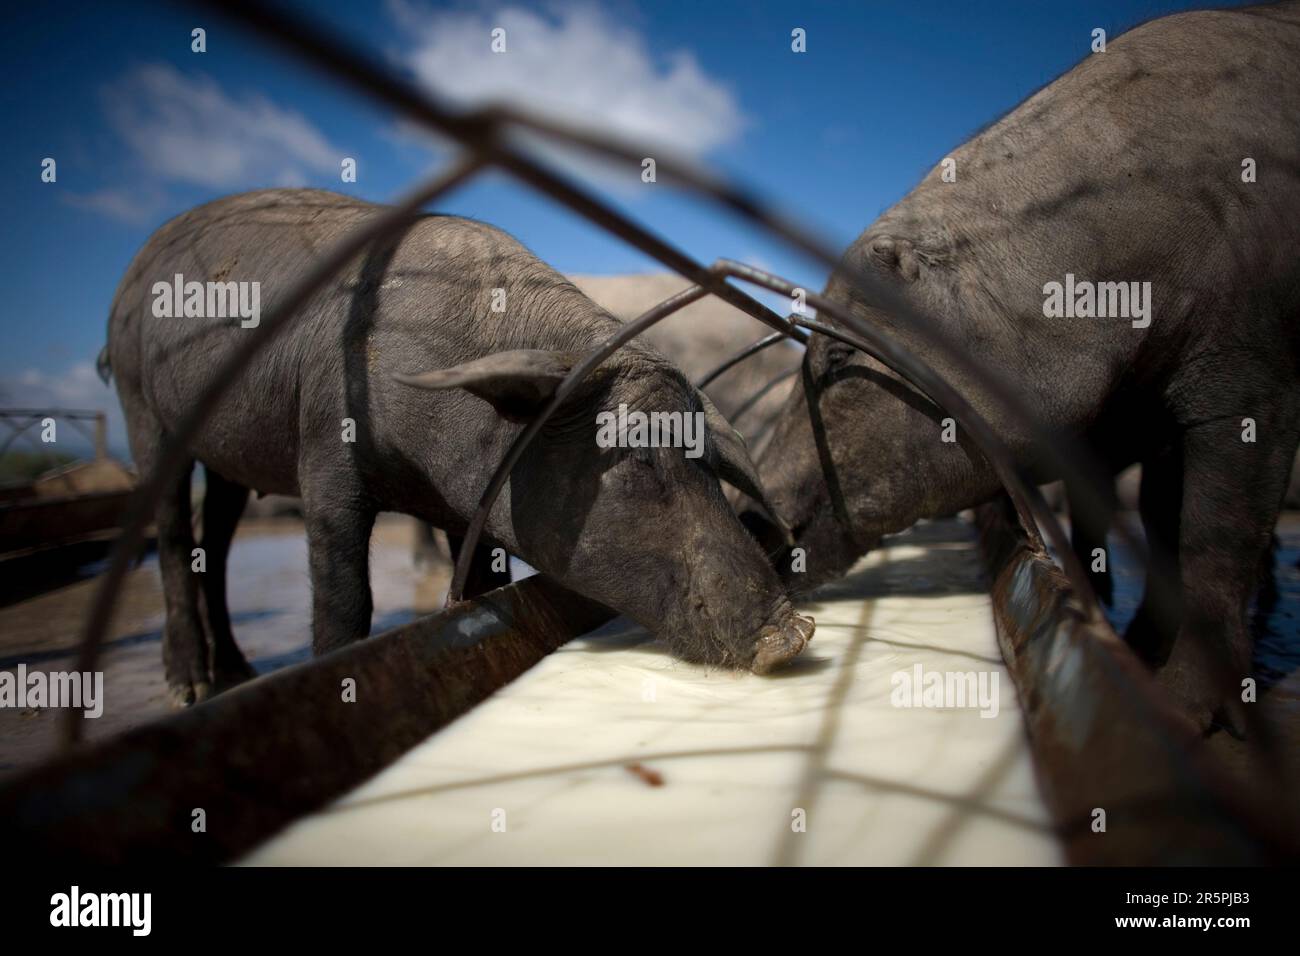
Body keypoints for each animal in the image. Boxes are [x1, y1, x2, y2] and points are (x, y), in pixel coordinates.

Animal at [105, 188, 812, 706]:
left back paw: (239, 674)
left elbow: (480, 590)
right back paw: (192, 688)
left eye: (706, 462)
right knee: (175, 537)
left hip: (226, 457)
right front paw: (337, 673)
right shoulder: (325, 445)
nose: (792, 635)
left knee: (217, 539)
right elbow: (344, 598)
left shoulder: (471, 509)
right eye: (633, 456)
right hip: (141, 405)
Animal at [754, 2, 1300, 735]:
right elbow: (1153, 519)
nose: (748, 501)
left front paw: (1182, 715)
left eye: (838, 355)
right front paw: (1131, 645)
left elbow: (1212, 536)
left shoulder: (1256, 365)